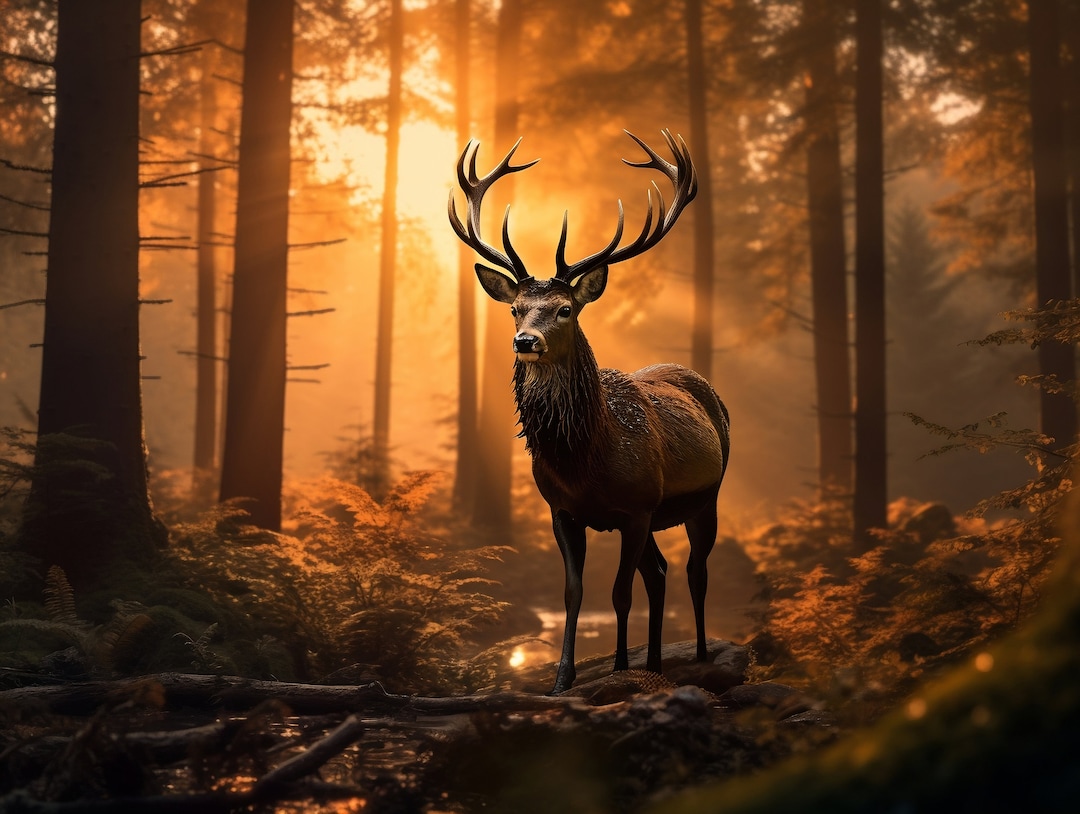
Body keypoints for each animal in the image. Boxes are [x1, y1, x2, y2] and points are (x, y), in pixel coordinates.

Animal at [448, 130, 730, 695]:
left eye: (565, 309)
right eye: (515, 309)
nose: (525, 341)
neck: (587, 462)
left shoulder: (637, 509)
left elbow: (620, 592)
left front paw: (619, 668)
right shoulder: (562, 510)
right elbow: (574, 593)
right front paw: (565, 678)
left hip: (706, 498)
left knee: (694, 572)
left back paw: (699, 654)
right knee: (660, 572)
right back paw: (654, 662)